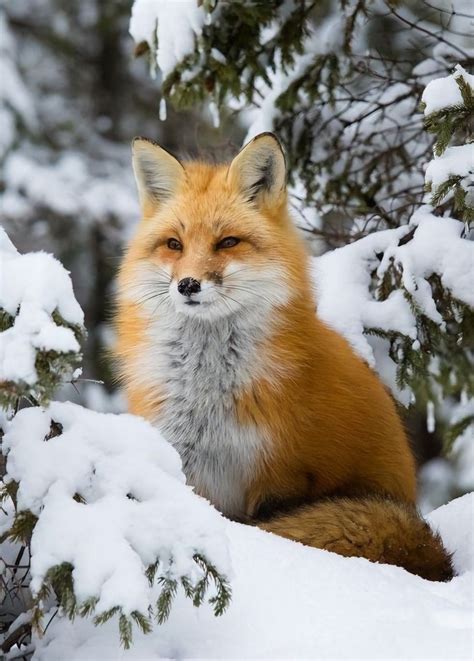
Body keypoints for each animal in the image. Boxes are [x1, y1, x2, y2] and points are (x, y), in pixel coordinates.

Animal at [114, 132, 453, 582]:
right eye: (174, 244)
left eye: (227, 242)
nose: (187, 284)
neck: (208, 395)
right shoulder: (185, 462)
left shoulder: (282, 475)